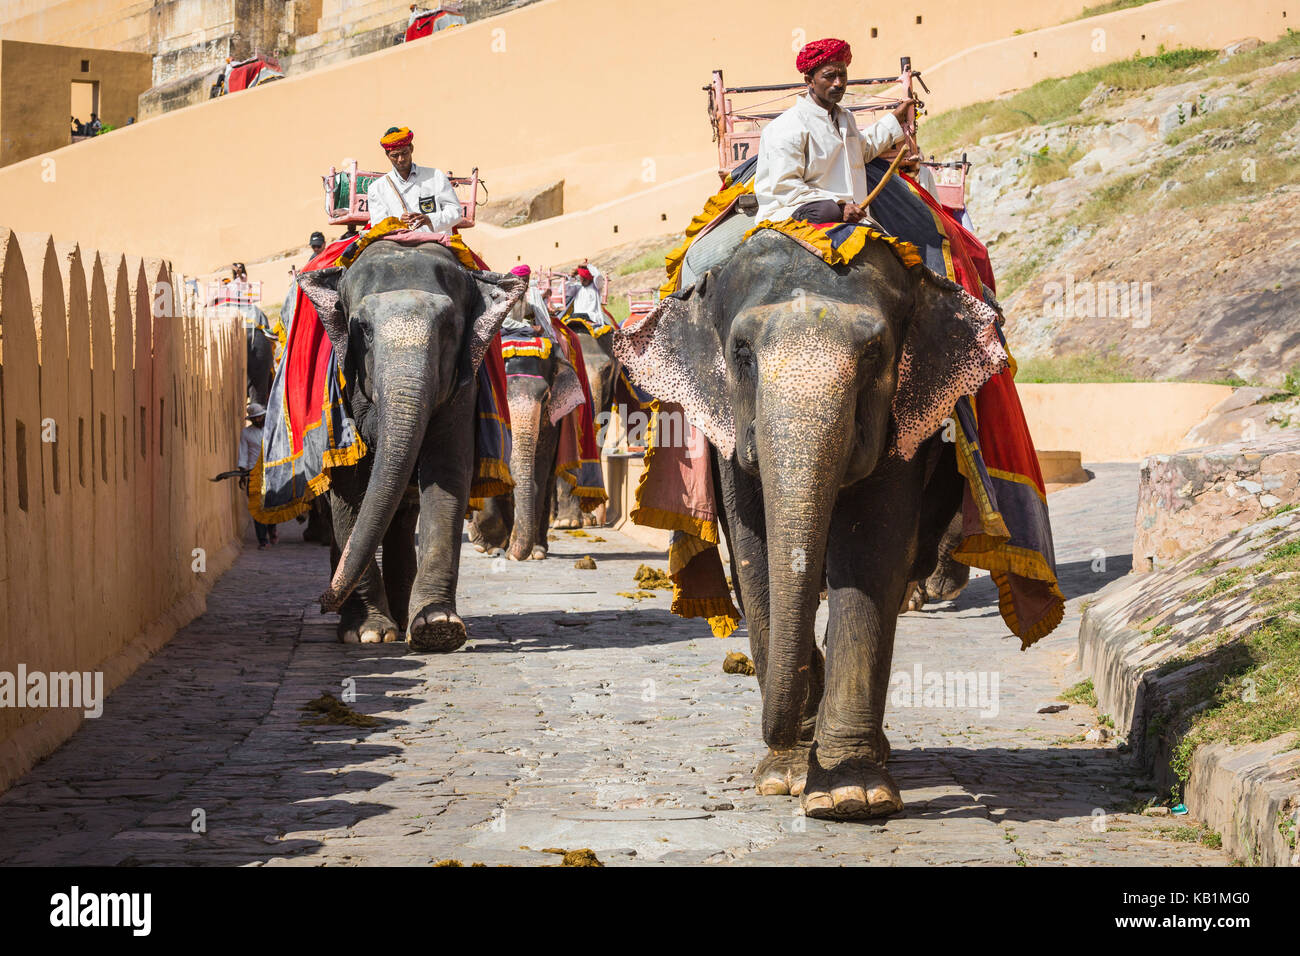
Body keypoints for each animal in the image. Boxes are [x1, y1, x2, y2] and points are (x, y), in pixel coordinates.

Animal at [296, 241, 525, 649]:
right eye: (363, 329)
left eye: (449, 327)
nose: (320, 603)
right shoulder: (339, 383)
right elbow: (349, 483)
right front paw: (368, 633)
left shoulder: (463, 384)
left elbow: (447, 470)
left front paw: (437, 628)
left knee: (402, 518)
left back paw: (403, 619)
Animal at [614, 230, 1006, 819]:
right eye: (742, 353)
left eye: (874, 354)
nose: (787, 740)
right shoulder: (730, 431)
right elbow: (755, 552)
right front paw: (788, 776)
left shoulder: (900, 422)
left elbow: (871, 548)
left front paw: (851, 795)